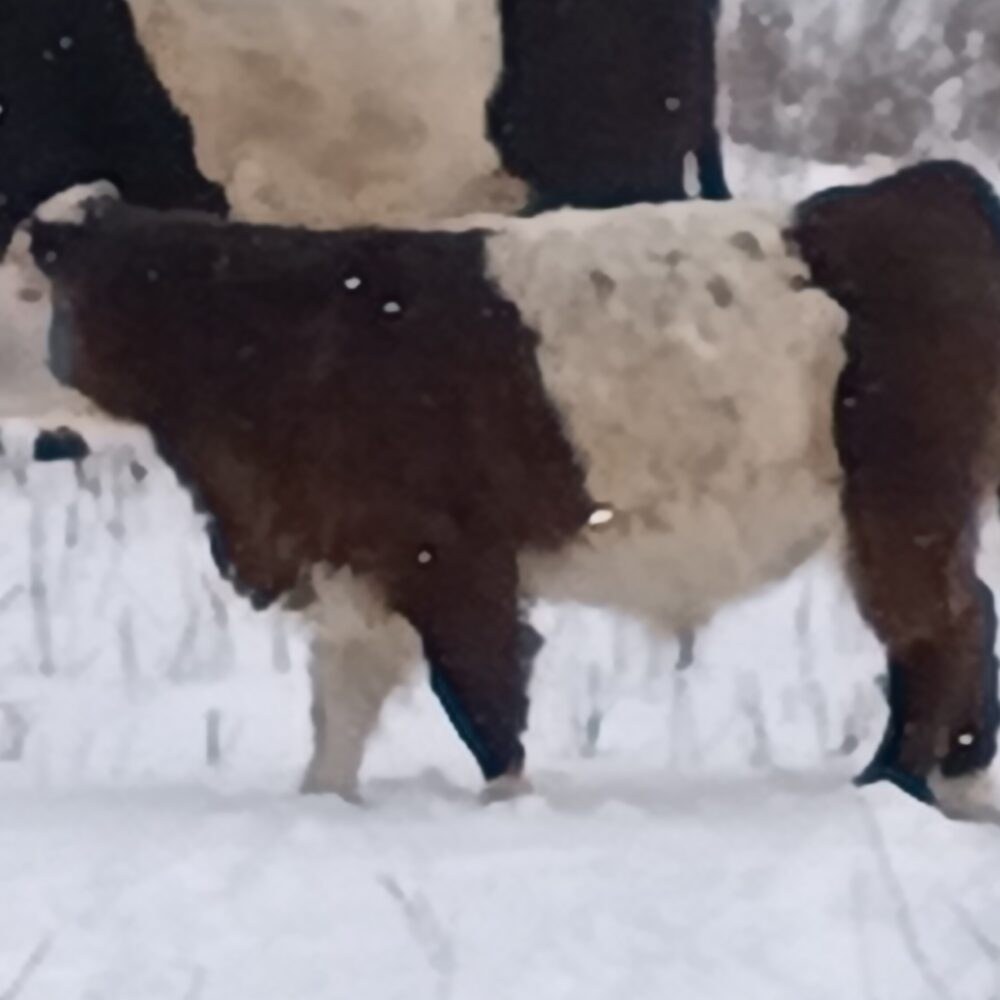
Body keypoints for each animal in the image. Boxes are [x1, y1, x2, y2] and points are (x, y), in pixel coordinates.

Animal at [8, 159, 1000, 816]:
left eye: (17, 280)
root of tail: (921, 188)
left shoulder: (448, 559)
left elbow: (483, 698)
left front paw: (508, 809)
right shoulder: (350, 557)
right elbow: (340, 710)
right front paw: (322, 805)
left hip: (899, 505)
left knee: (938, 629)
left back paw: (893, 789)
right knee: (959, 620)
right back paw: (944, 782)